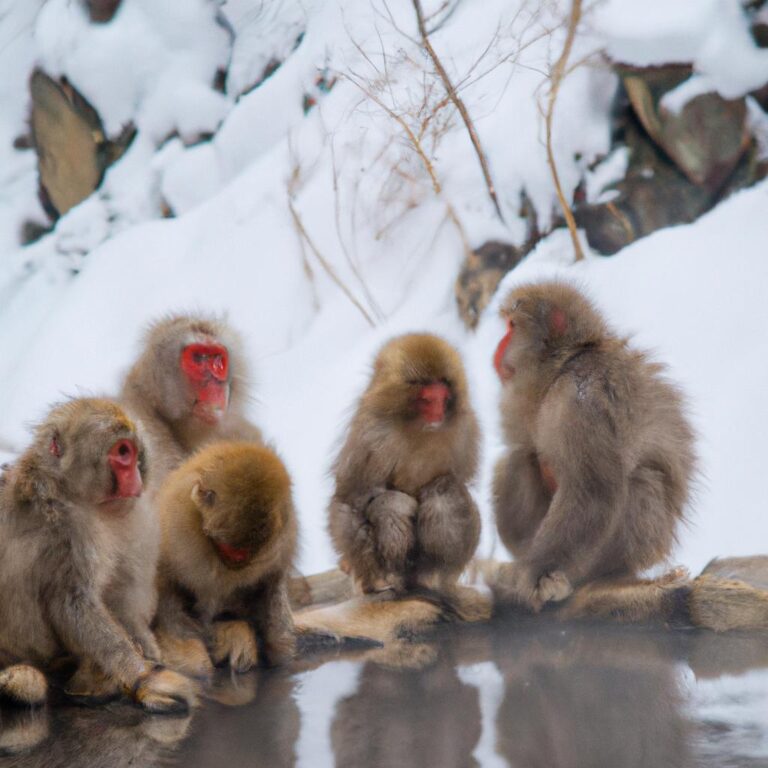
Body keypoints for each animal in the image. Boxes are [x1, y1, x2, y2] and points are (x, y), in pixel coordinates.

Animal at [0, 398, 195, 713]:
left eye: (135, 452)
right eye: (123, 453)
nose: (135, 475)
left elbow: (121, 596)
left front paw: (147, 653)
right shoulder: (68, 528)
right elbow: (73, 602)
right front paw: (140, 676)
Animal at [155, 441, 297, 674]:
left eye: (243, 552)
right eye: (227, 548)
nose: (237, 562)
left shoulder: (281, 542)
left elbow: (270, 588)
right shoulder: (173, 532)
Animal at [328, 333, 481, 595]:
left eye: (442, 398)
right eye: (427, 399)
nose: (437, 414)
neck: (417, 425)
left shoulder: (465, 430)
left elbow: (458, 481)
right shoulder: (371, 434)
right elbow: (352, 496)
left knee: (444, 489)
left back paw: (431, 574)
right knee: (390, 503)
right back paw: (391, 575)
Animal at [491, 280, 696, 611]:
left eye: (511, 326)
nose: (497, 347)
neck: (565, 363)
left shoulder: (582, 398)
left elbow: (591, 490)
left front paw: (540, 576)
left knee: (642, 484)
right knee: (519, 458)